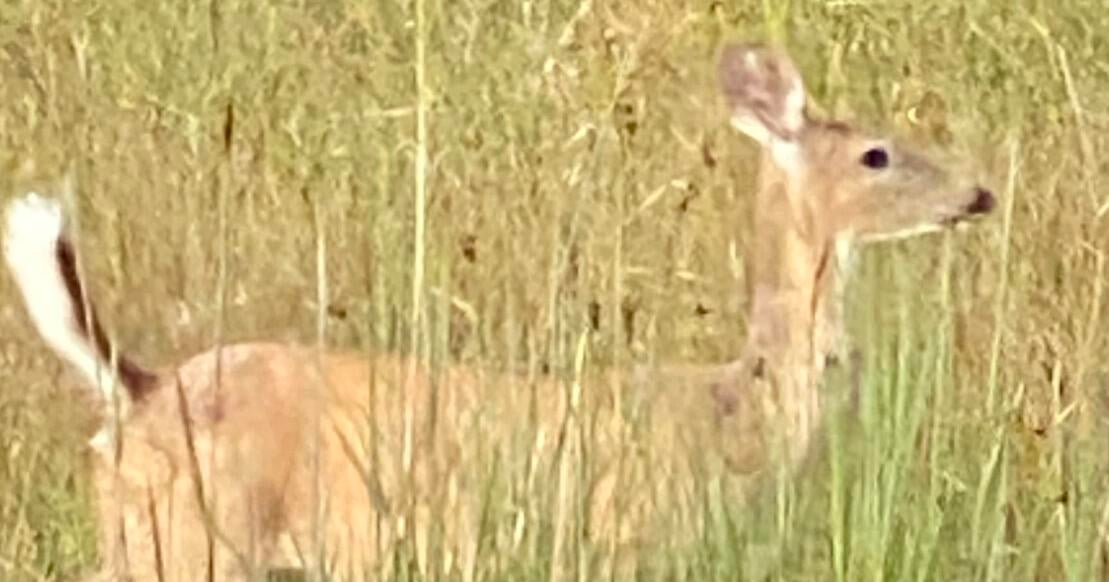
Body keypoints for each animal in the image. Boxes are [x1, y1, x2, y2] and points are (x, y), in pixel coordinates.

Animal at [2, 43, 994, 581]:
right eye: (877, 154)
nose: (978, 194)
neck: (740, 407)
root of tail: (138, 391)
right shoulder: (633, 541)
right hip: (191, 537)